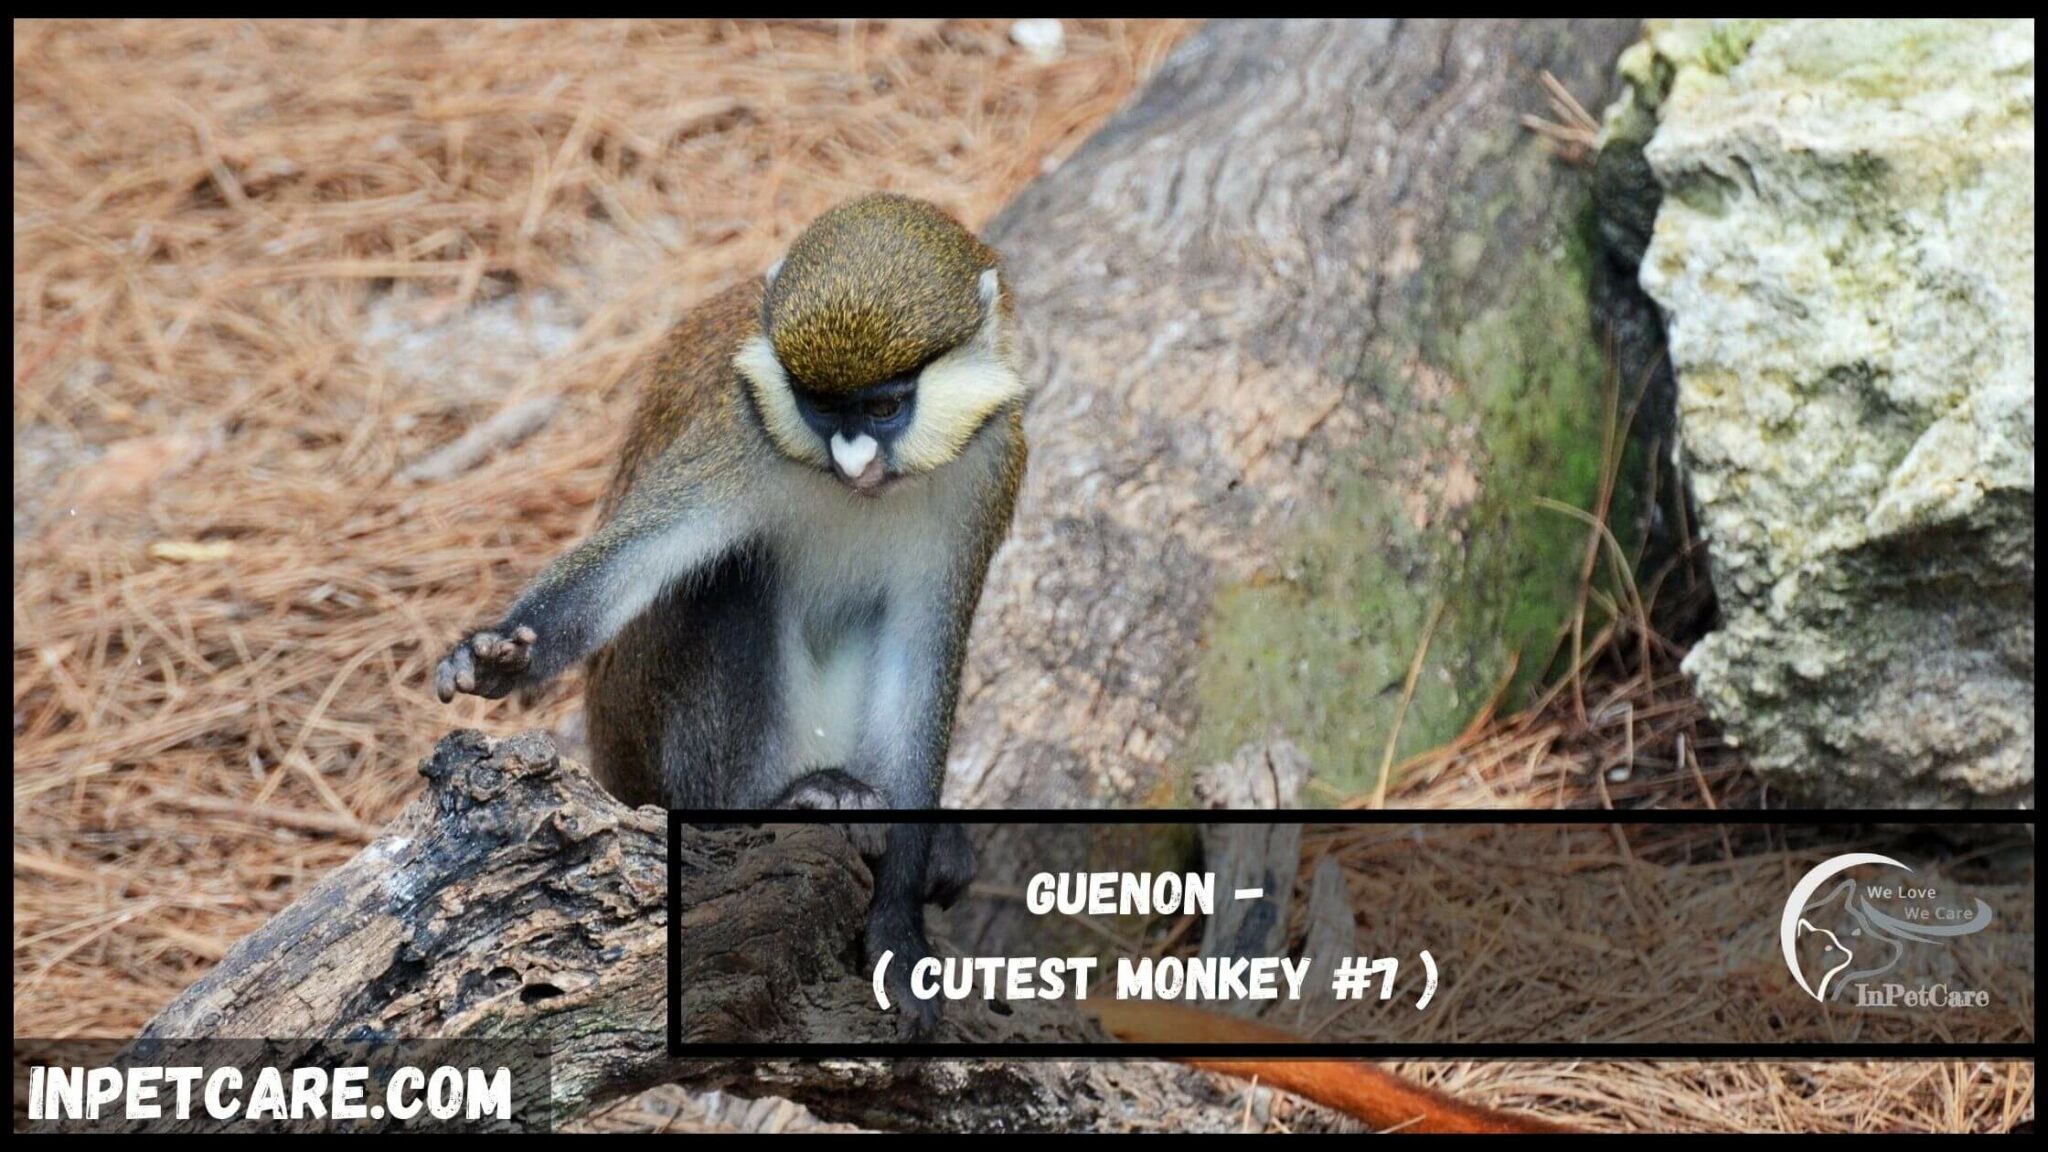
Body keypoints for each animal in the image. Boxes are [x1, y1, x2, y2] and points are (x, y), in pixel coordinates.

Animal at [433, 193, 1025, 1037]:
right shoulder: (738, 434)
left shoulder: (988, 472)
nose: (851, 462)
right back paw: (773, 806)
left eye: (884, 406)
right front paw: (497, 653)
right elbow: (631, 561)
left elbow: (919, 673)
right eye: (820, 406)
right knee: (729, 581)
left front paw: (898, 929)